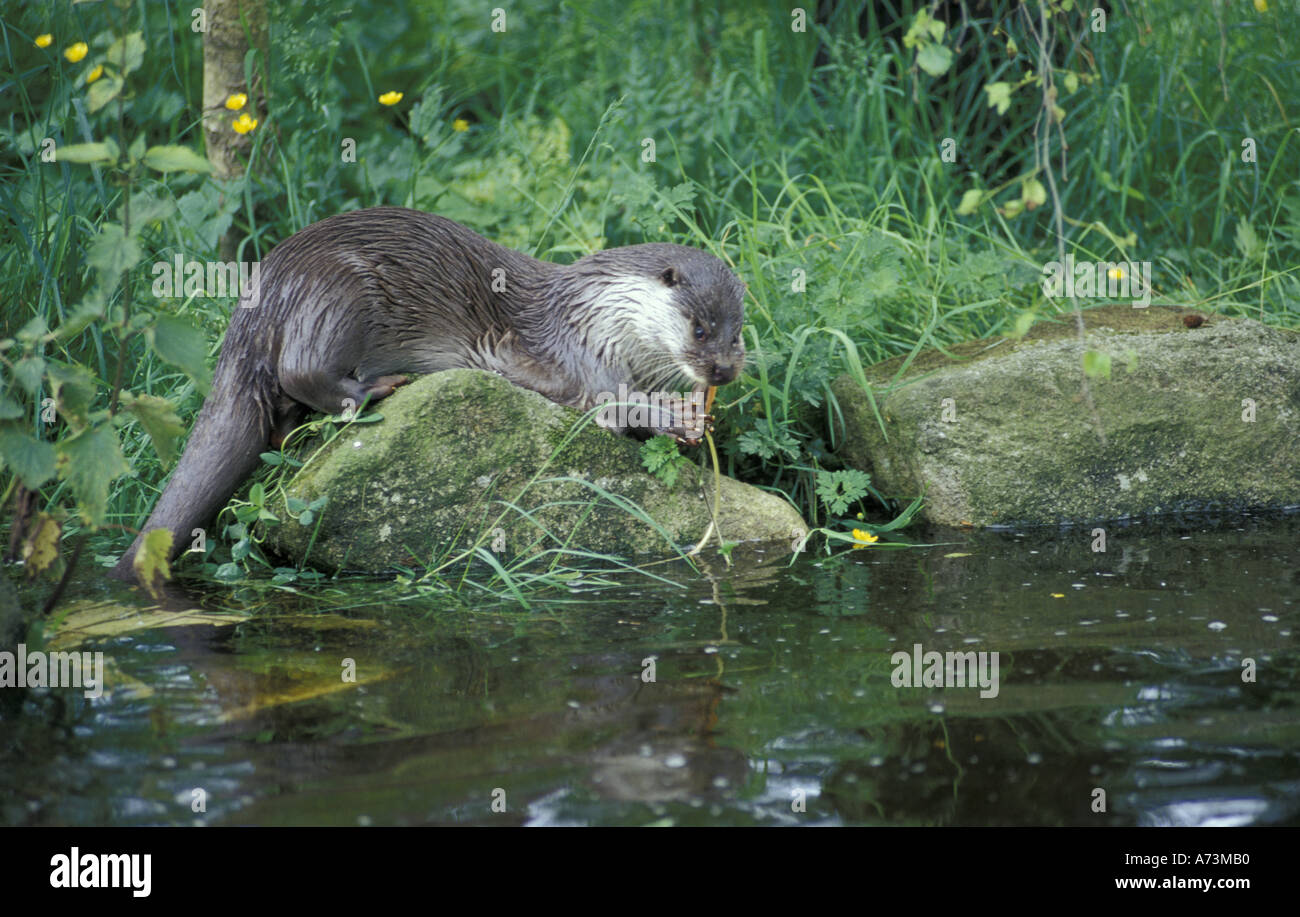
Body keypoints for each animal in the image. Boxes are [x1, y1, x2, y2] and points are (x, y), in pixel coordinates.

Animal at [111, 207, 746, 580]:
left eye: (738, 332)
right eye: (699, 329)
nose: (722, 372)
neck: (600, 316)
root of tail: (254, 305)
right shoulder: (580, 358)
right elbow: (611, 409)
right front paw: (679, 416)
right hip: (337, 292)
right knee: (299, 370)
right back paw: (375, 387)